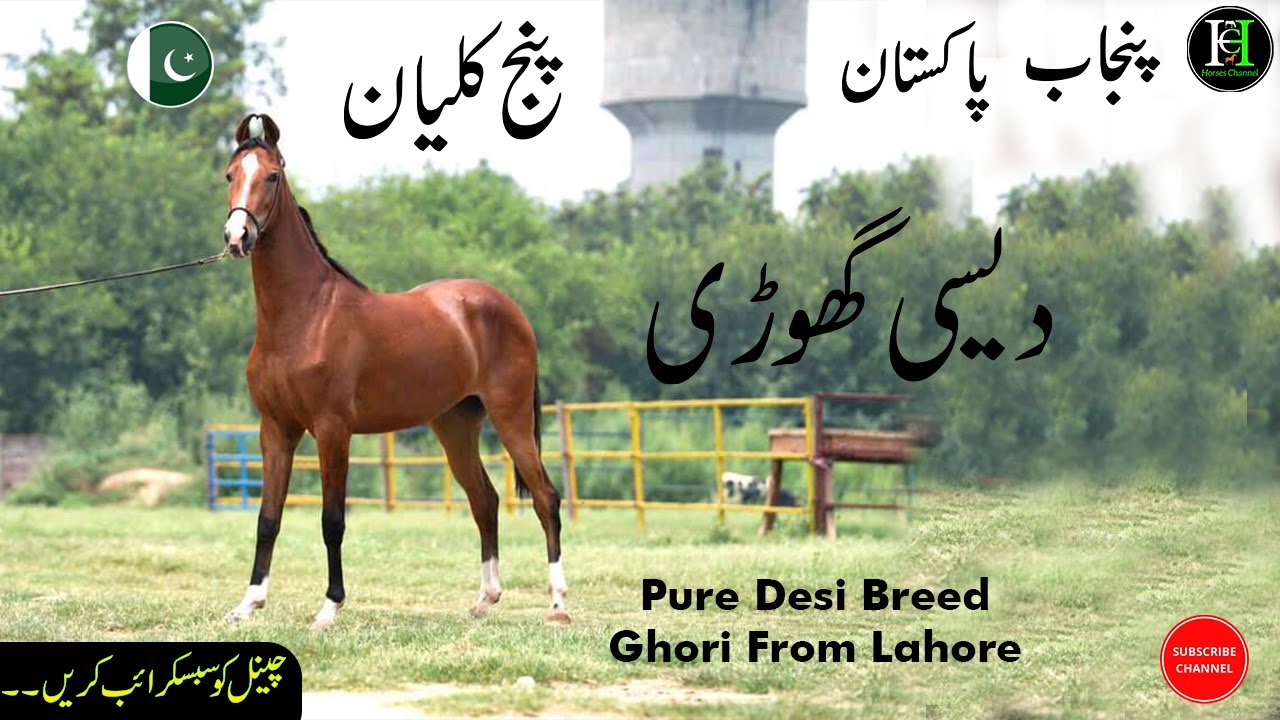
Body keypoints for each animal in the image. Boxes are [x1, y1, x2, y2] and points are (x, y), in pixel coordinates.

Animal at [219, 113, 568, 629]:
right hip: (455, 425)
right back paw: (485, 599)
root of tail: (508, 307)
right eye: (230, 175)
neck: (306, 315)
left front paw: (329, 607)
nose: (237, 237)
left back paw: (559, 604)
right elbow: (268, 517)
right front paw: (248, 604)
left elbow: (332, 519)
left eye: (272, 177)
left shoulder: (332, 430)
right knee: (484, 500)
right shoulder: (275, 429)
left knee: (546, 498)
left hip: (512, 418)